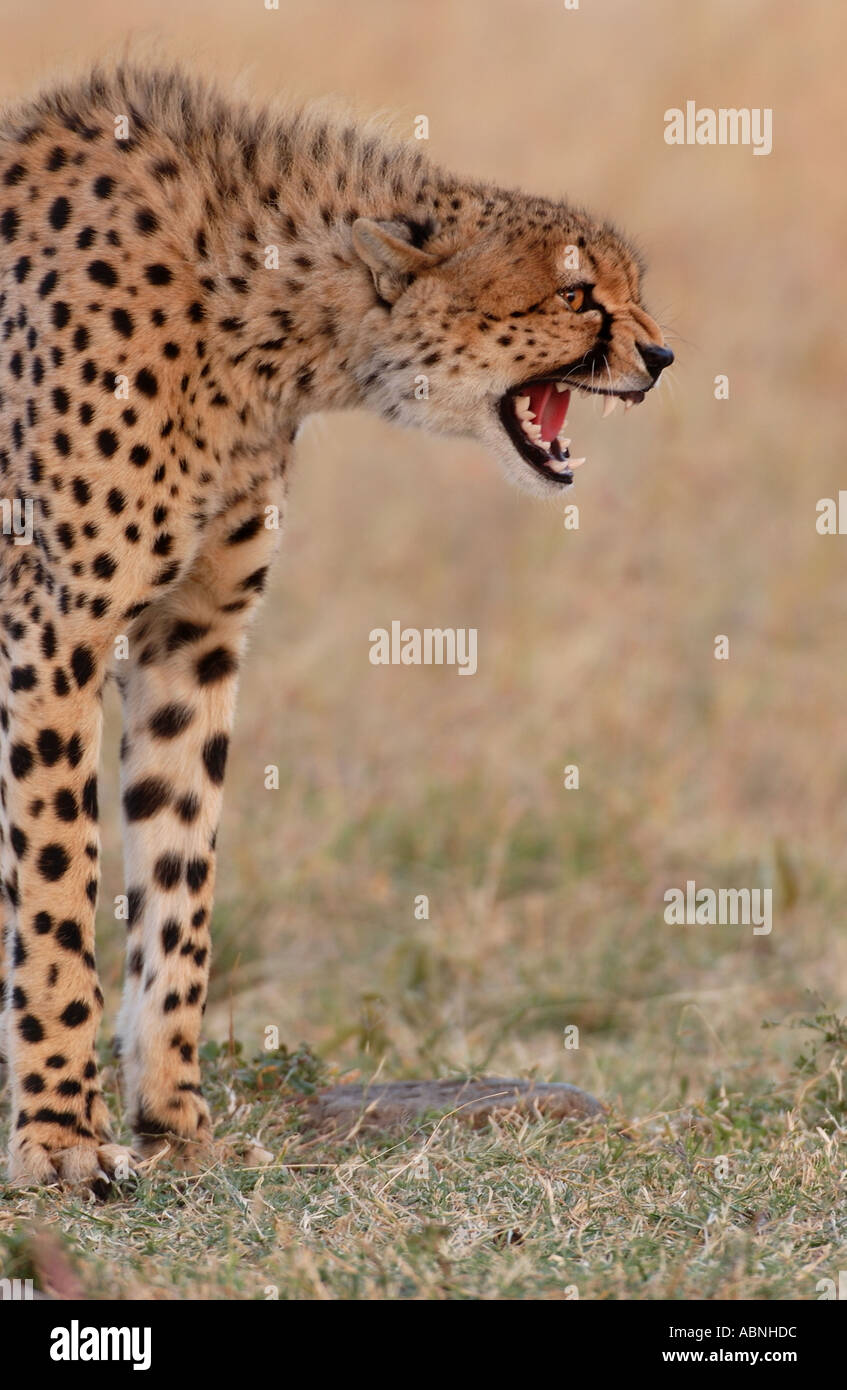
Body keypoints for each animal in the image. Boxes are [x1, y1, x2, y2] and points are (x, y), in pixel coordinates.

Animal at [0, 63, 673, 1191]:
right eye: (576, 296)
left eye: (628, 291)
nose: (662, 356)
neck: (258, 320)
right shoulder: (54, 634)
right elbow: (56, 890)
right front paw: (58, 1133)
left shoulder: (193, 638)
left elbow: (179, 874)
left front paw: (174, 1118)